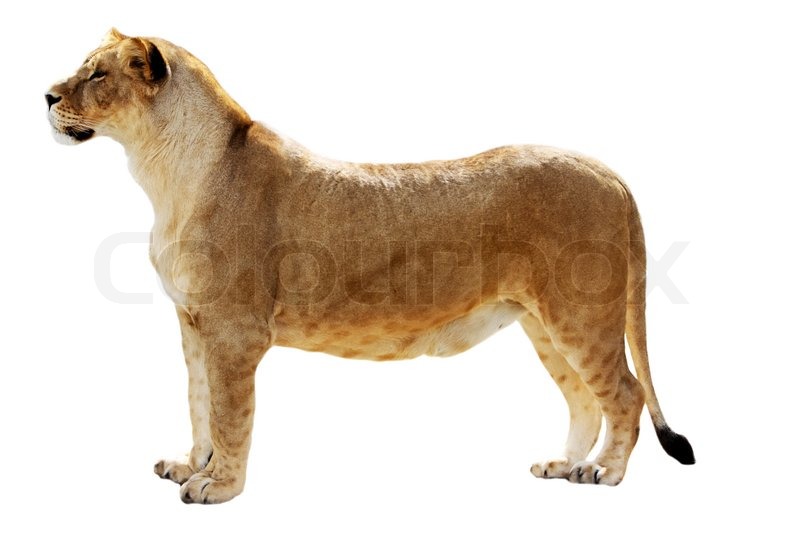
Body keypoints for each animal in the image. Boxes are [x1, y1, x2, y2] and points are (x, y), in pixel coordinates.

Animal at [46, 29, 694, 504]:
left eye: (97, 73)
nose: (46, 97)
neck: (163, 172)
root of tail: (608, 170)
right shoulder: (192, 322)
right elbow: (198, 401)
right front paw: (189, 465)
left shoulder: (235, 330)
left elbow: (231, 413)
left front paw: (218, 487)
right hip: (542, 322)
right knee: (583, 398)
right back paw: (564, 464)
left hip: (581, 314)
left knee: (626, 393)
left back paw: (604, 474)